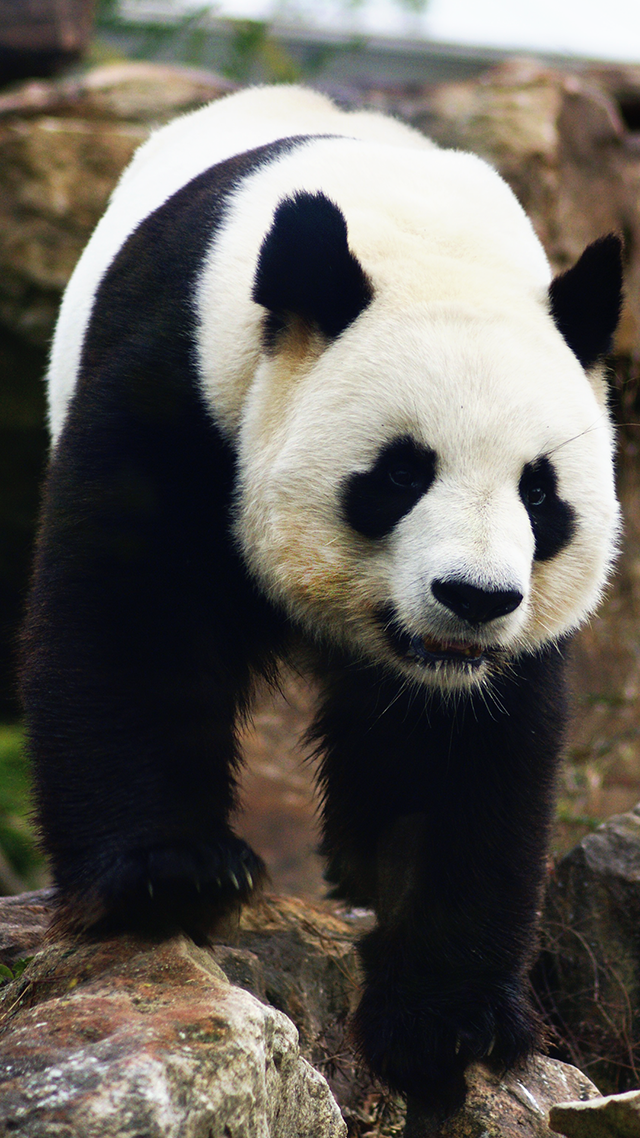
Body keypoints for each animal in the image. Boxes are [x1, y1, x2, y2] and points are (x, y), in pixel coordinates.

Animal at [21, 85, 622, 1114]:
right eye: (400, 473)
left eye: (541, 493)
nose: (472, 598)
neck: (415, 233)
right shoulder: (183, 384)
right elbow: (131, 612)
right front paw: (169, 875)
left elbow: (463, 753)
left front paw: (448, 1019)